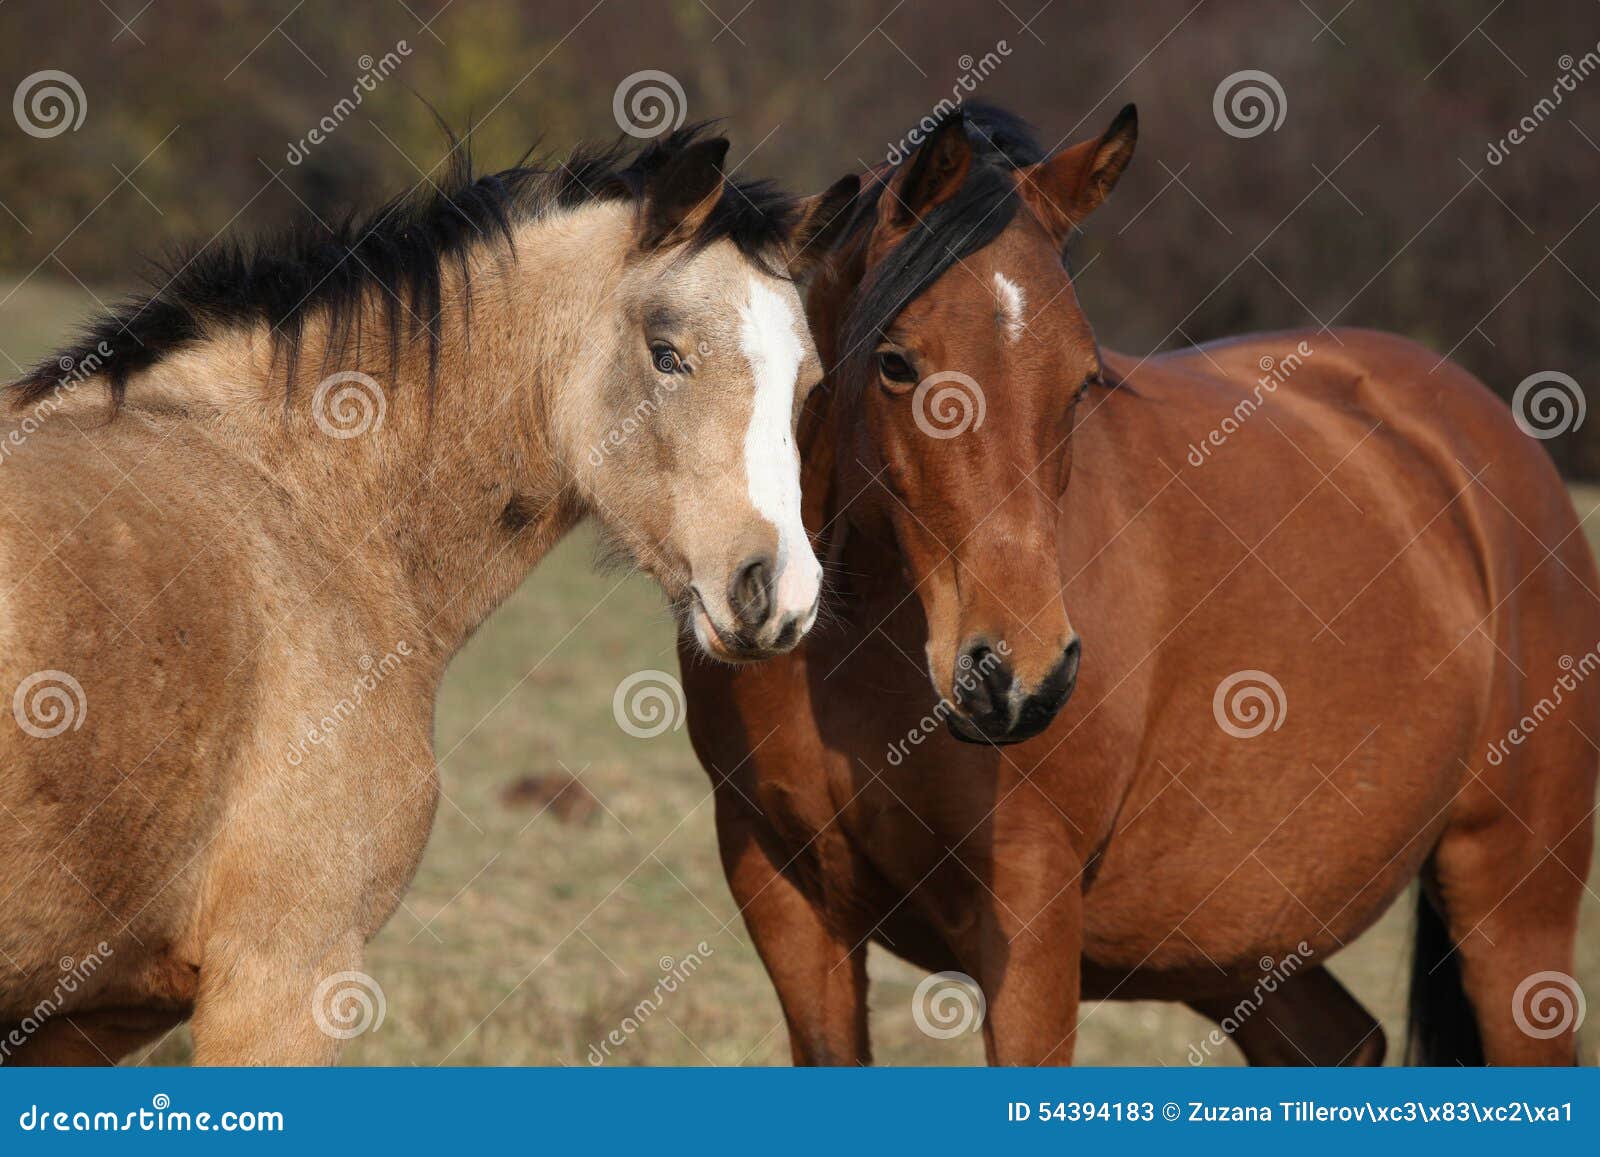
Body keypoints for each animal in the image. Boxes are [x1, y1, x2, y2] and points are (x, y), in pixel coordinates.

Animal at [0, 126, 857, 1064]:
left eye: (809, 384)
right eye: (667, 354)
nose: (781, 591)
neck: (300, 502)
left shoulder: (76, 1025)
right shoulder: (284, 982)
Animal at [680, 103, 1598, 1066]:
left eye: (1081, 379)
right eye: (896, 363)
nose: (1016, 678)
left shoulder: (1031, 917)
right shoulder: (787, 899)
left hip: (1510, 908)